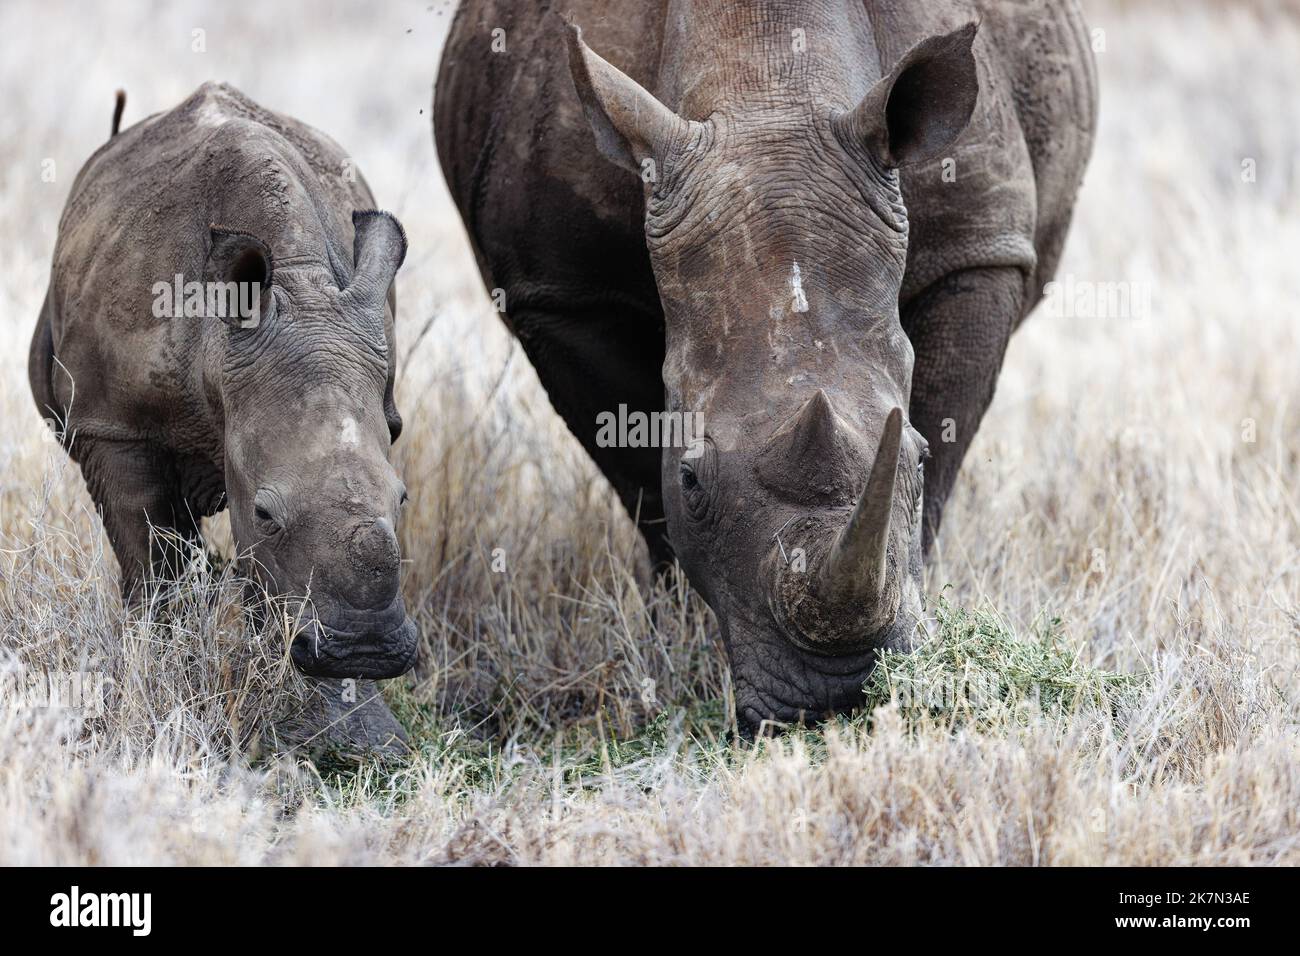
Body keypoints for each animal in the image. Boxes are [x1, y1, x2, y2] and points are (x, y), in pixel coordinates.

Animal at [29, 83, 419, 742]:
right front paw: (164, 677)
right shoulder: (112, 424)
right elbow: (152, 557)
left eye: (404, 500)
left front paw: (357, 733)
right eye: (264, 513)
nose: (364, 651)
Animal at [435, 0, 1096, 731]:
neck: (770, 91)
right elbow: (637, 472)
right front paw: (680, 629)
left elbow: (944, 444)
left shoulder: (978, 248)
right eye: (692, 478)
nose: (836, 698)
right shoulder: (561, 289)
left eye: (917, 460)